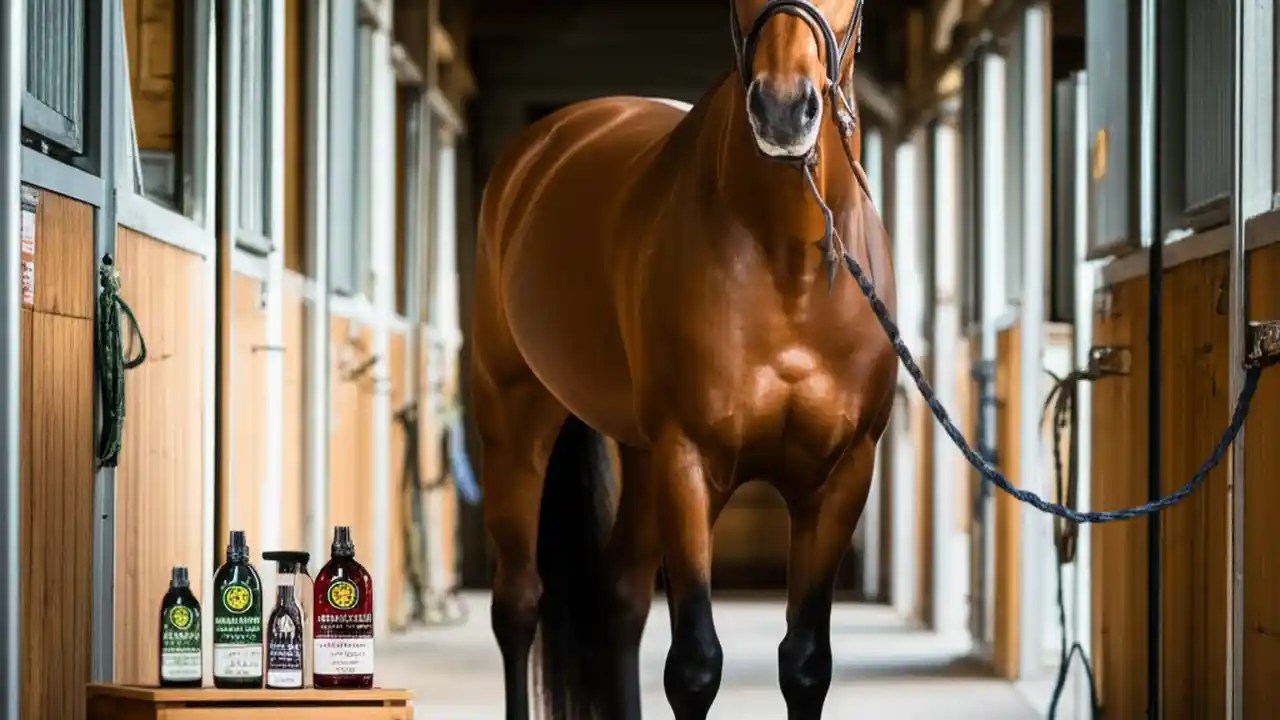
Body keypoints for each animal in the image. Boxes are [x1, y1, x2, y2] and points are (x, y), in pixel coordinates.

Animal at [471, 1, 895, 718]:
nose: (784, 111)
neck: (788, 263)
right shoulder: (688, 460)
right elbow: (695, 665)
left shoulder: (842, 474)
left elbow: (806, 663)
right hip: (515, 422)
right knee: (518, 607)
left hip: (640, 456)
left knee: (619, 599)